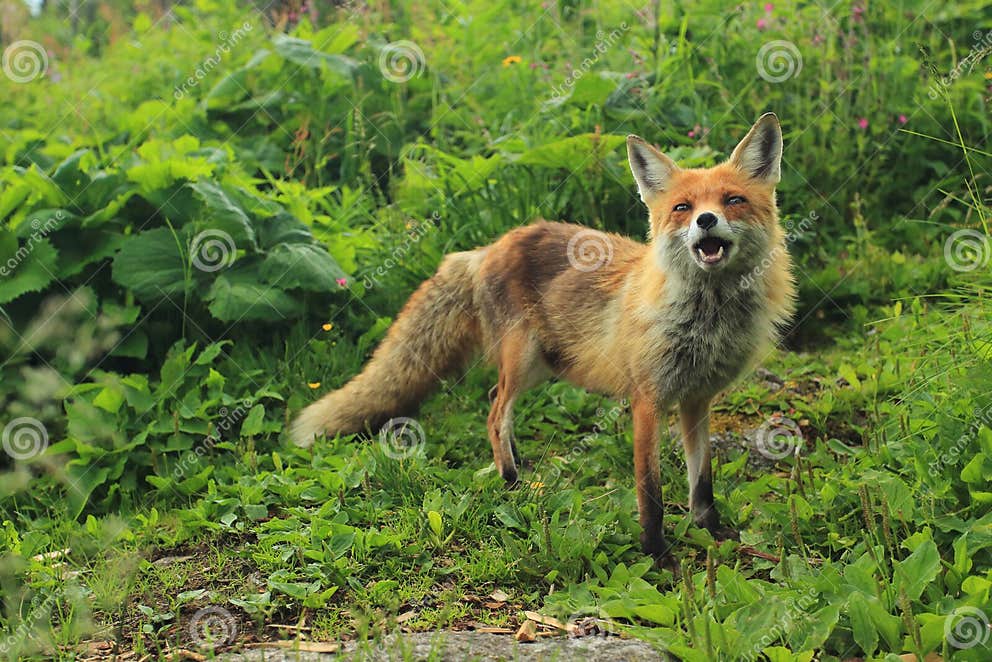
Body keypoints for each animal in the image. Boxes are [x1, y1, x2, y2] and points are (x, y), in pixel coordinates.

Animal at [292, 113, 795, 560]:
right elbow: (649, 493)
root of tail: (487, 248)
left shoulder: (697, 399)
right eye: (682, 208)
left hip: (544, 365)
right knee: (495, 412)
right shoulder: (647, 401)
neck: (706, 321)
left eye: (733, 200)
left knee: (495, 401)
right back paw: (511, 482)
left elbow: (702, 481)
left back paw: (517, 466)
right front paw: (657, 556)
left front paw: (710, 531)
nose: (706, 220)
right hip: (523, 358)